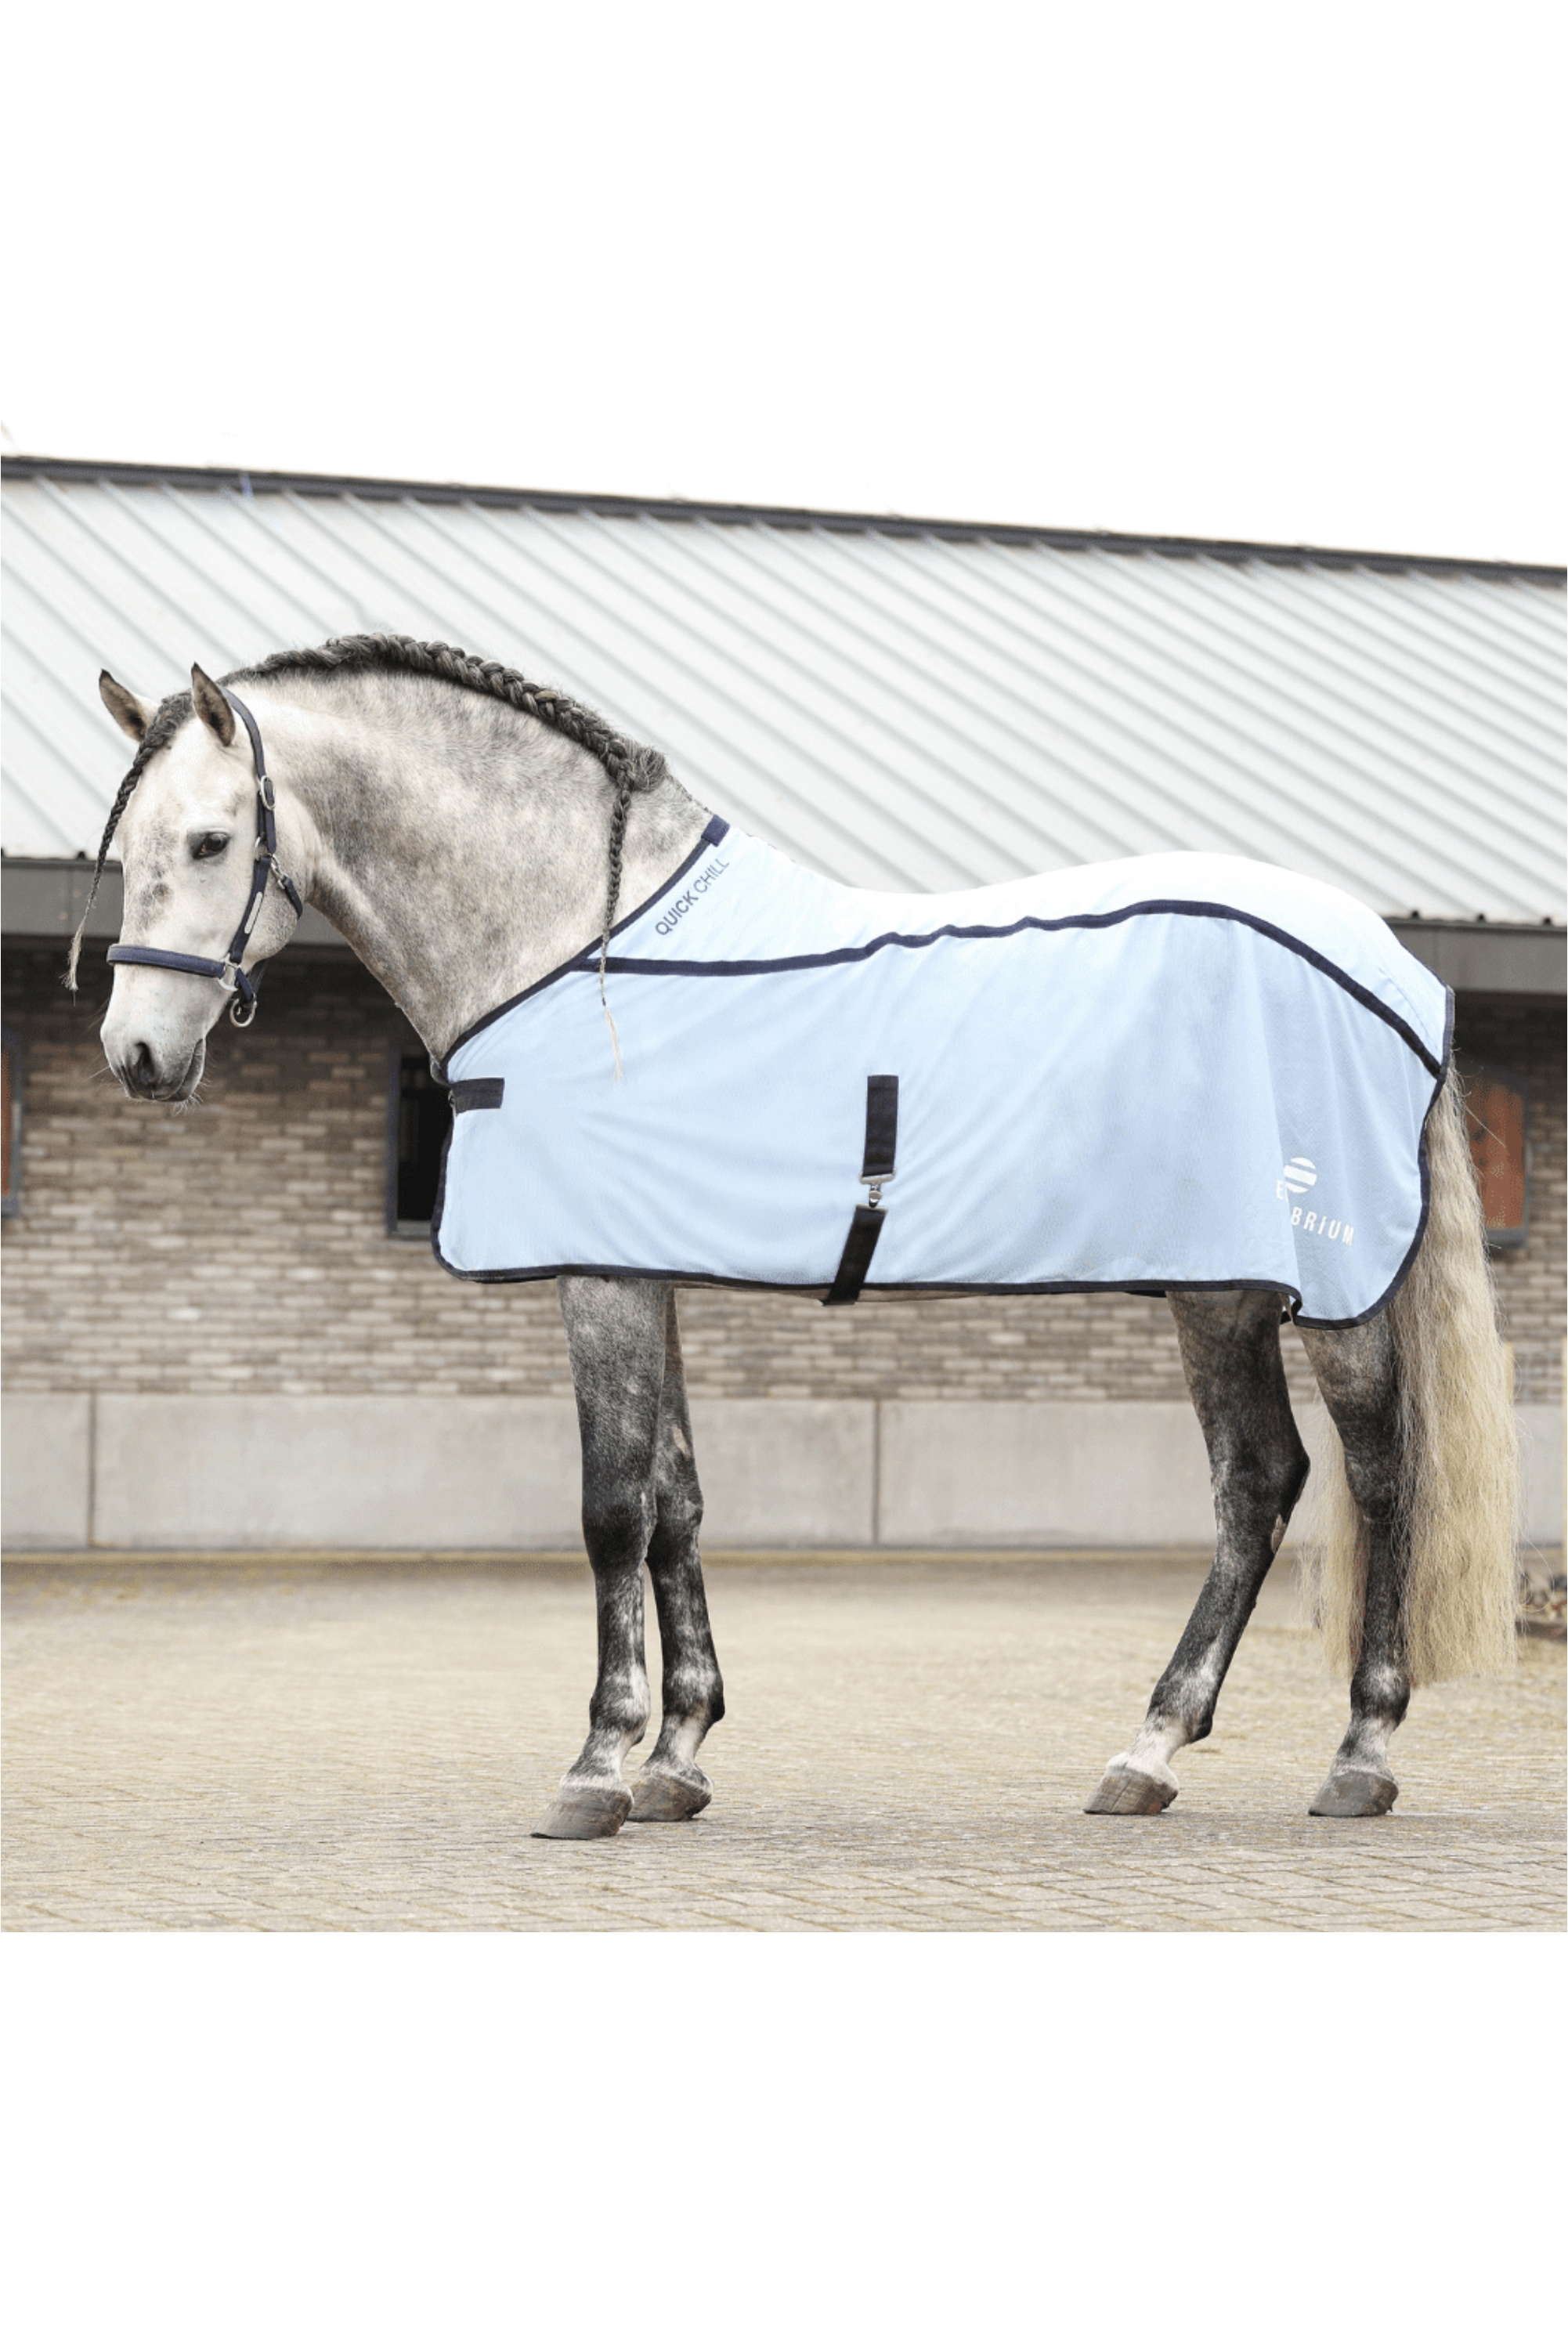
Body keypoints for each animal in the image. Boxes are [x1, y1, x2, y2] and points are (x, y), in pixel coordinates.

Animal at [79, 634, 1519, 1839]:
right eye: (127, 843)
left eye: (209, 838)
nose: (138, 1056)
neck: (581, 948)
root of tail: (1389, 967)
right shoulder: (645, 1267)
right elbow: (673, 1500)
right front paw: (678, 1756)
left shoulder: (601, 1277)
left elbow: (609, 1506)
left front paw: (595, 1767)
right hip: (1220, 1285)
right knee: (1273, 1481)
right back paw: (1161, 1752)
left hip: (1302, 1289)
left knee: (1358, 1474)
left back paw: (1336, 1752)